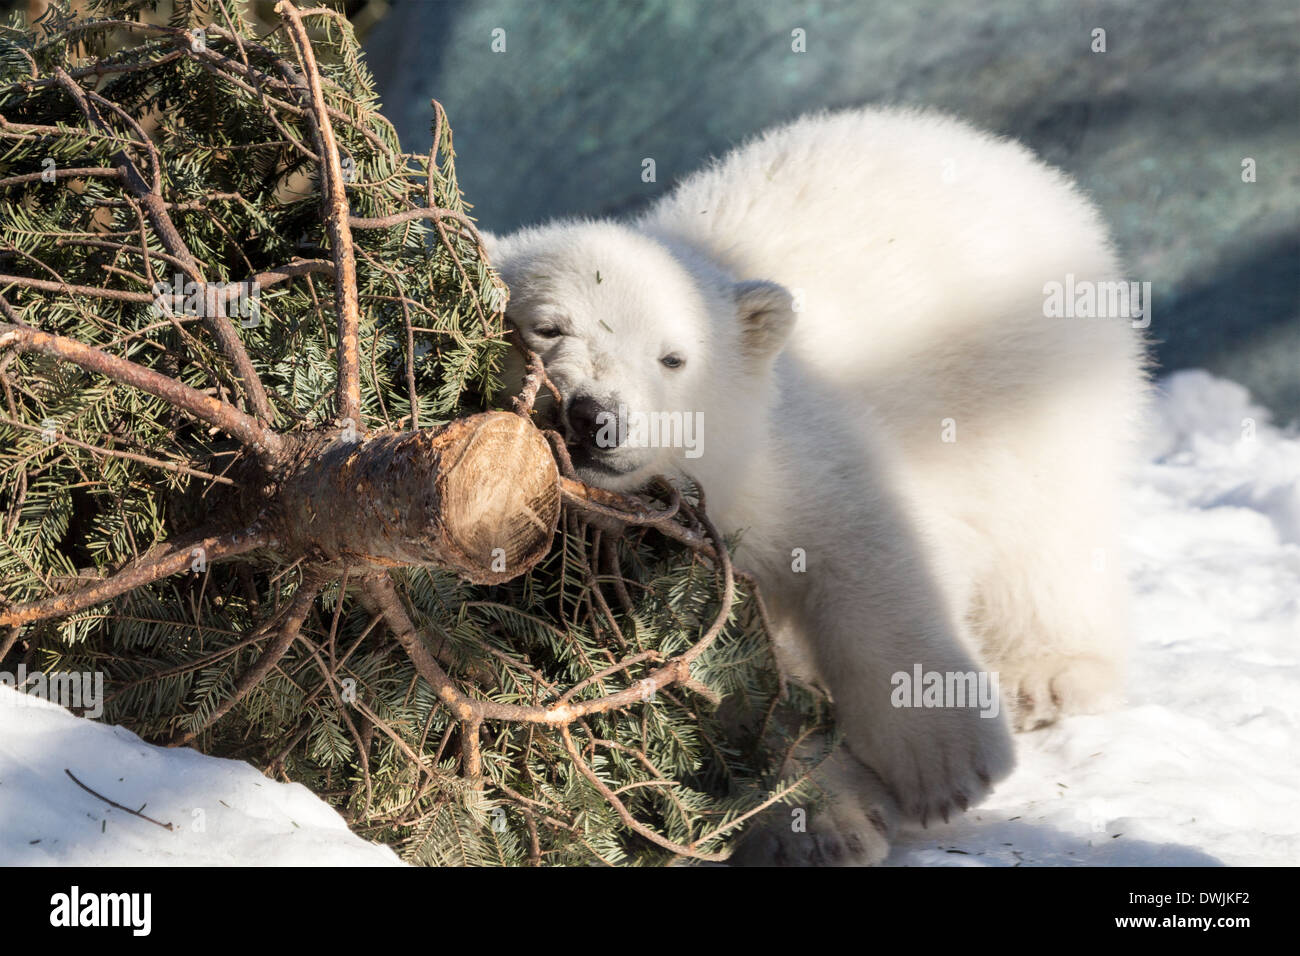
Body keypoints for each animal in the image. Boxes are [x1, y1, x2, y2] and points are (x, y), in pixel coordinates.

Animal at [483, 107, 1149, 865]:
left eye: (674, 357)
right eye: (546, 327)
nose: (596, 416)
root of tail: (988, 146)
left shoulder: (791, 459)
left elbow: (867, 557)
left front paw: (948, 763)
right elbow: (731, 683)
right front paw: (824, 825)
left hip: (1033, 374)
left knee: (1051, 531)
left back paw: (1051, 674)